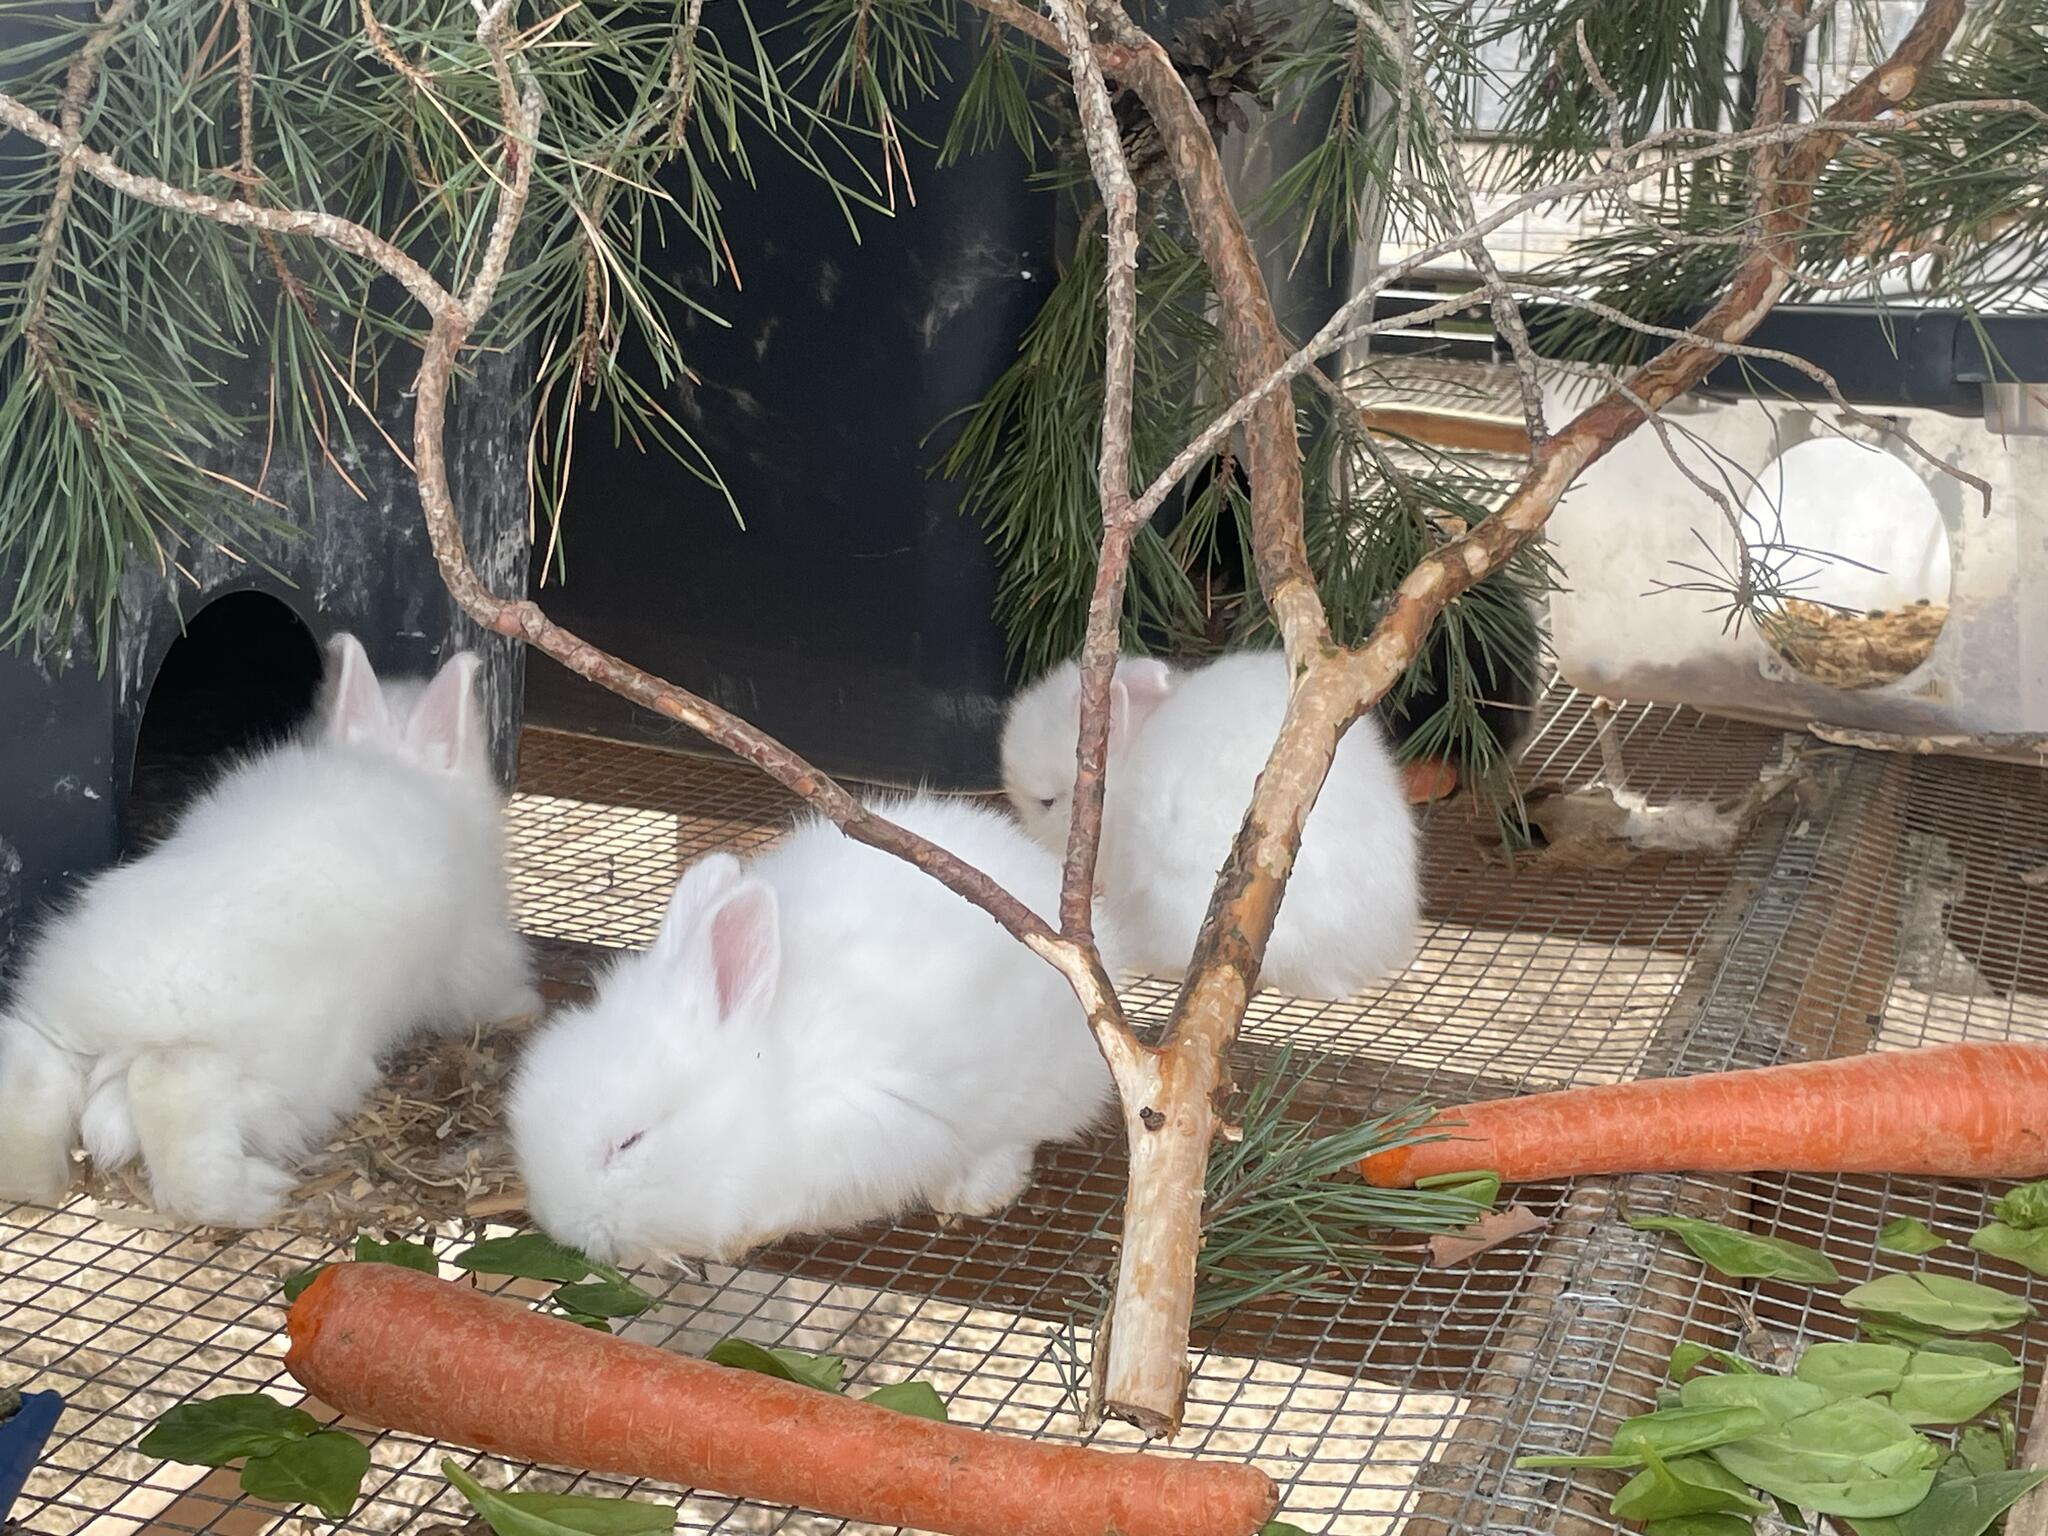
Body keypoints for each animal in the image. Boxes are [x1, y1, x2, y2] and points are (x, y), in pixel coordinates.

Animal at [0, 633, 539, 1227]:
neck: (393, 760)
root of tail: (121, 1023)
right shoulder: (472, 949)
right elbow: (486, 992)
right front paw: (527, 1007)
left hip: (56, 1030)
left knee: (34, 1075)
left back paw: (37, 1180)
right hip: (286, 1075)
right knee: (169, 1083)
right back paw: (251, 1195)